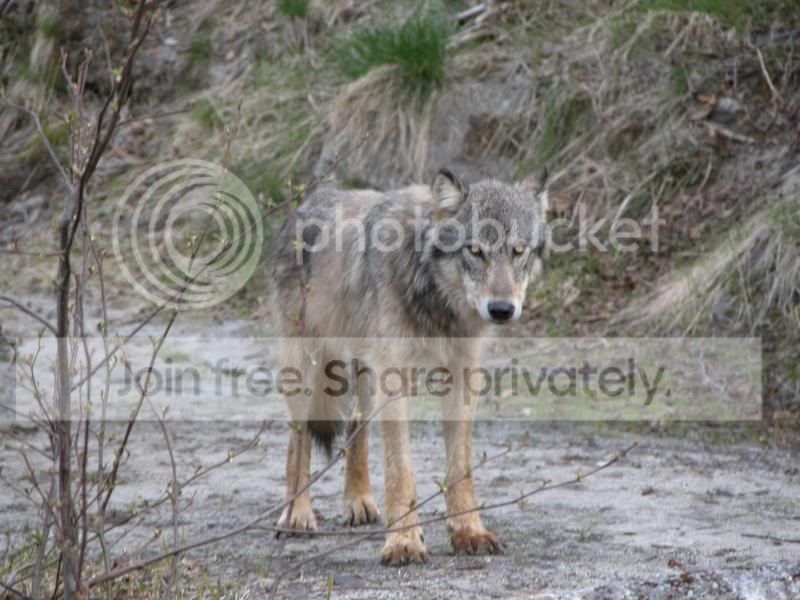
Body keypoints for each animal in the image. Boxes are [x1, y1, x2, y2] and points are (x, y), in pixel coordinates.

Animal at [267, 168, 549, 565]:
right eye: (474, 250)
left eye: (518, 250)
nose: (501, 309)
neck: (433, 294)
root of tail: (306, 204)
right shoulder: (394, 376)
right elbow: (400, 469)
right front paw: (403, 542)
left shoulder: (463, 376)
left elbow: (460, 467)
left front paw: (469, 533)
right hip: (306, 369)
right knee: (299, 437)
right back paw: (297, 515)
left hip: (364, 373)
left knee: (355, 426)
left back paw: (358, 501)